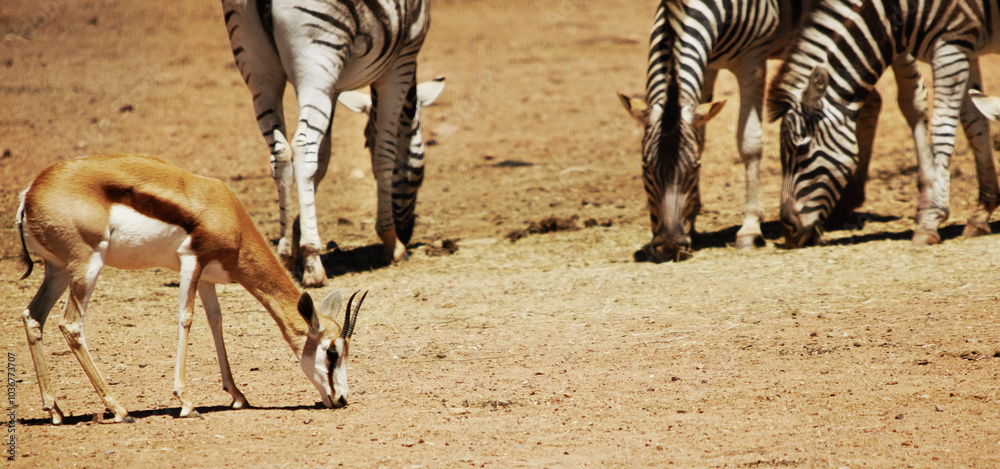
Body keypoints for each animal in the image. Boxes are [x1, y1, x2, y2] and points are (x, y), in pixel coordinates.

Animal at [223, 0, 430, 287]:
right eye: (420, 176)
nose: (407, 233)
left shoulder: (333, 89)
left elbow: (322, 160)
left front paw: (297, 232)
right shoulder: (402, 60)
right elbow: (384, 154)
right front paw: (392, 242)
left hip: (259, 70)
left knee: (281, 154)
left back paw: (285, 255)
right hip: (318, 59)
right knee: (302, 148)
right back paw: (313, 263)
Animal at [618, 0, 977, 262]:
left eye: (693, 169)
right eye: (645, 169)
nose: (669, 245)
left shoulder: (752, 58)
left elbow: (749, 141)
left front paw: (749, 230)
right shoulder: (707, 64)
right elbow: (700, 137)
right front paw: (691, 222)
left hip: (891, 29)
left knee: (912, 101)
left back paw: (926, 202)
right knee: (868, 100)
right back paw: (847, 202)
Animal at [768, 0, 1000, 248]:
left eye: (802, 148)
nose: (789, 231)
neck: (898, 11)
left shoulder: (952, 44)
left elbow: (942, 127)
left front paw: (930, 219)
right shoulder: (966, 47)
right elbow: (975, 122)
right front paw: (982, 212)